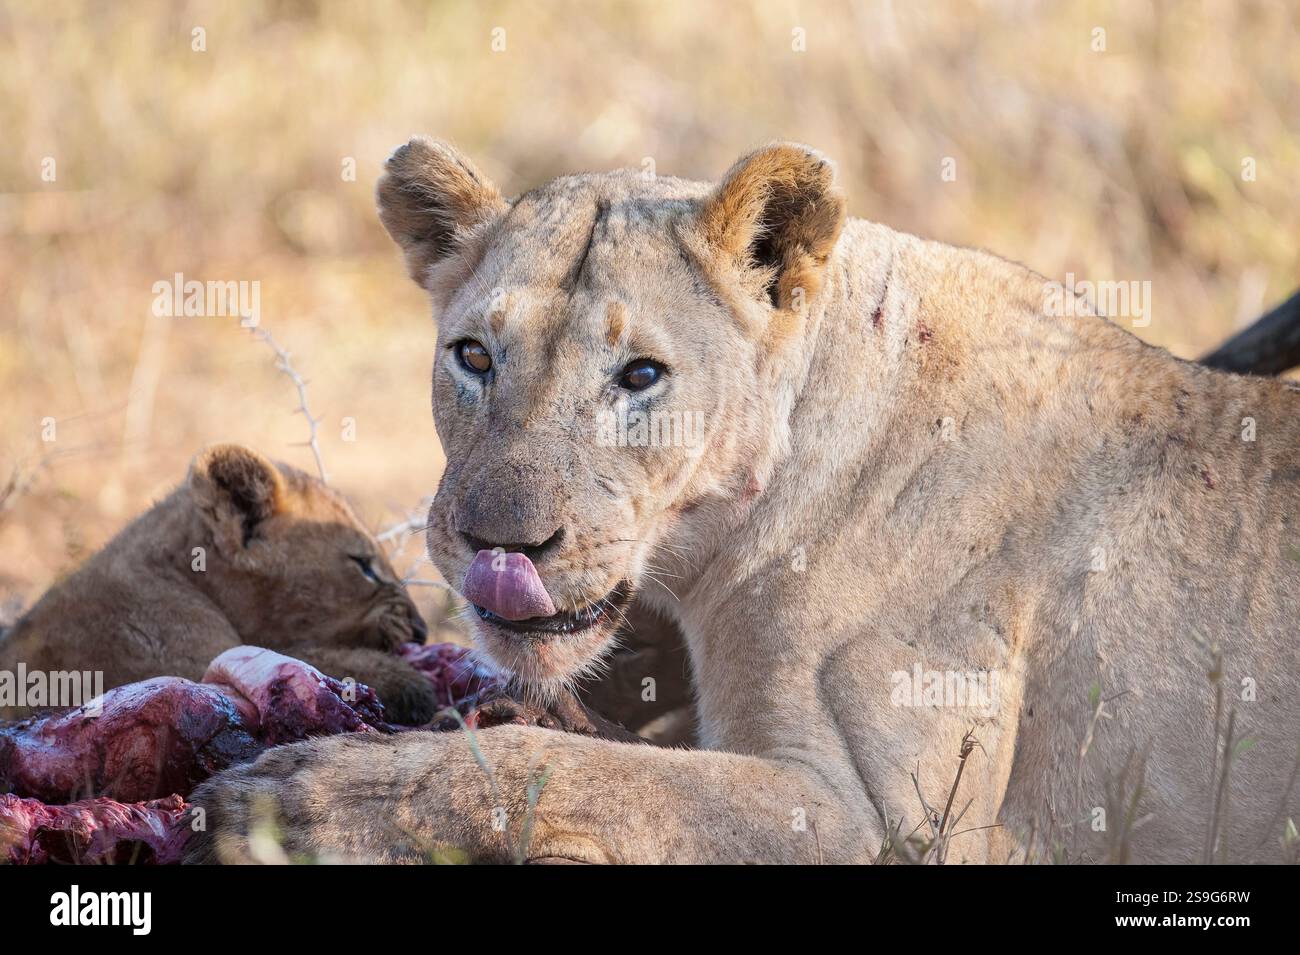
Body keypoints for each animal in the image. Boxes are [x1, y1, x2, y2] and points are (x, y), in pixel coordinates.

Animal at [187, 140, 1300, 864]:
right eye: (473, 356)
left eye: (640, 376)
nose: (498, 544)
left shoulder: (893, 824)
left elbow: (583, 775)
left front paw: (295, 800)